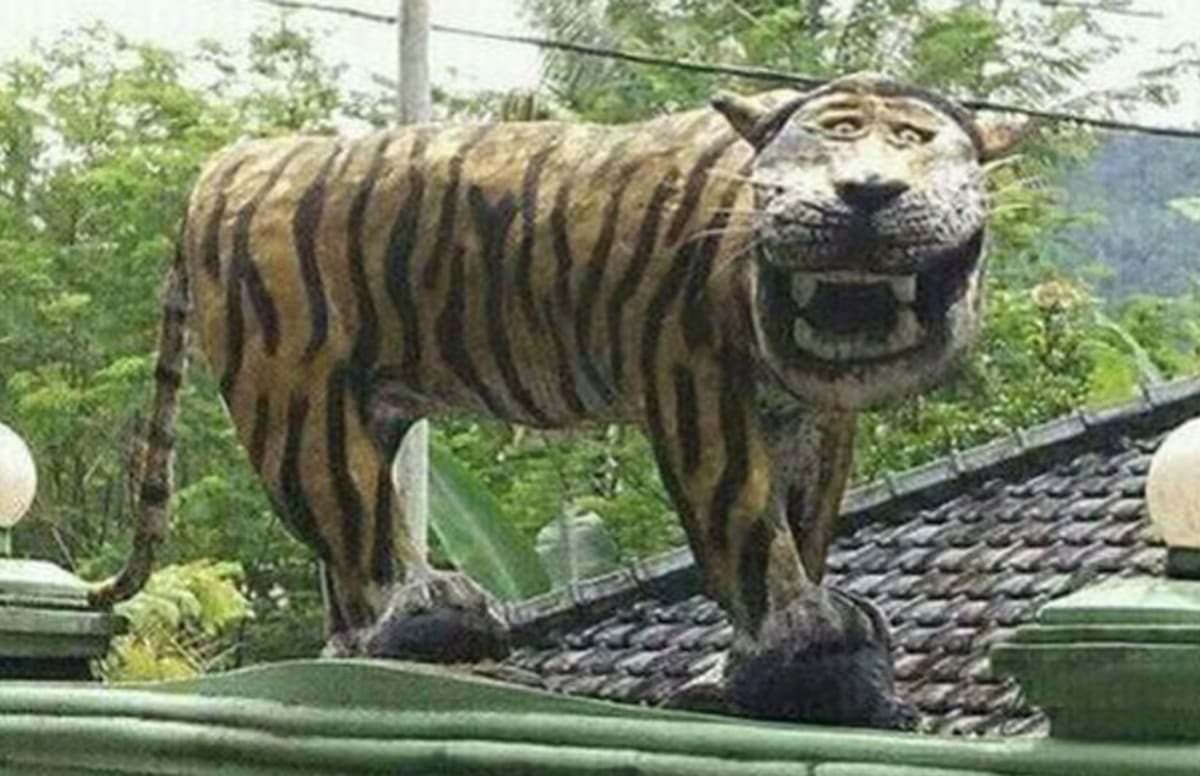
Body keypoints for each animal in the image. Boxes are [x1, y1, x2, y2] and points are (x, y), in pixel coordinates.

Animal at [91, 72, 1022, 727]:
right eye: (832, 141)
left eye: (911, 140)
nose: (866, 193)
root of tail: (224, 164)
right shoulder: (696, 384)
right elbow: (747, 525)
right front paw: (805, 640)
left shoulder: (813, 416)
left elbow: (803, 522)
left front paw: (739, 675)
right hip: (295, 394)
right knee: (352, 524)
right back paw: (432, 616)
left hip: (362, 407)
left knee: (346, 553)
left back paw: (387, 637)